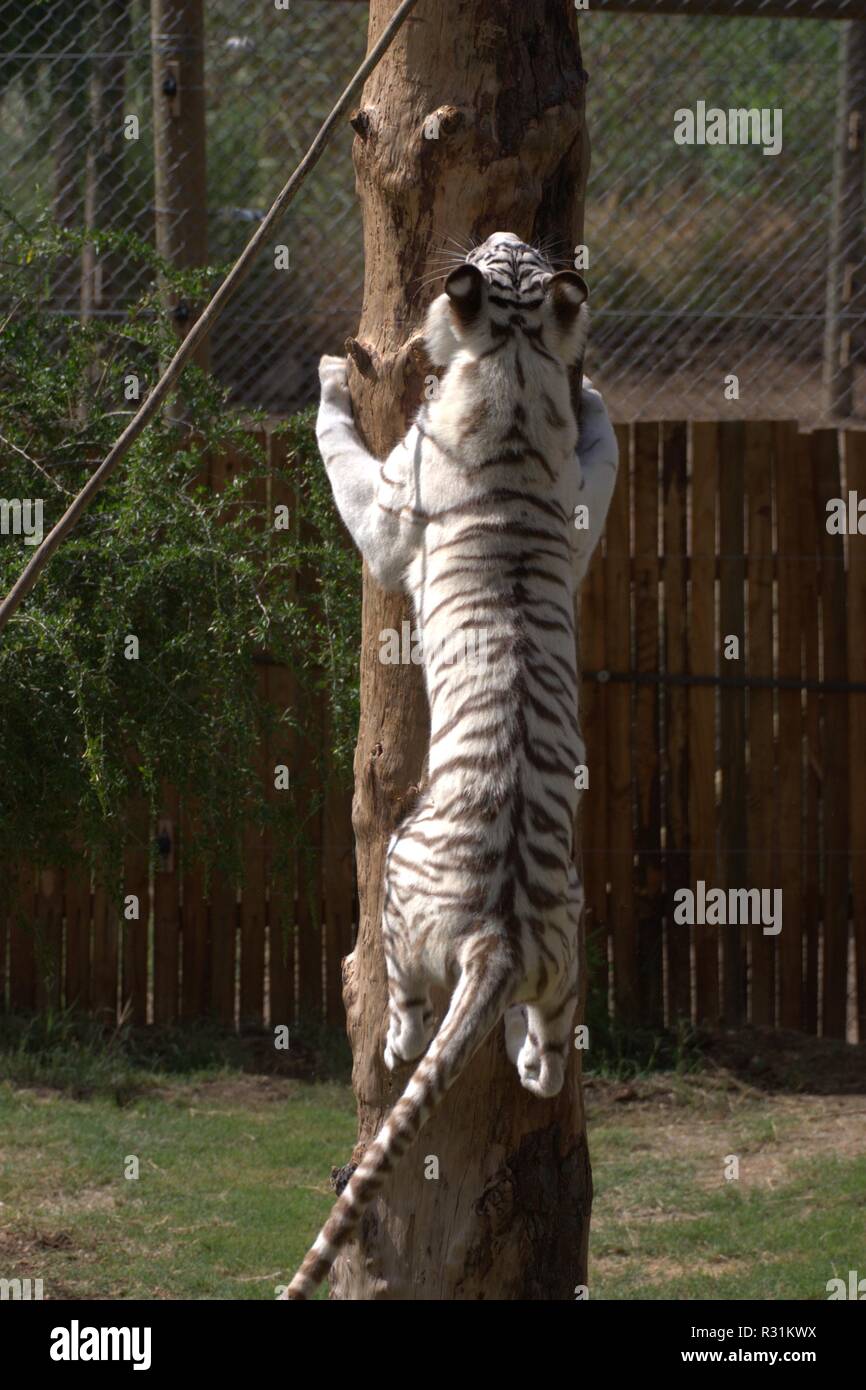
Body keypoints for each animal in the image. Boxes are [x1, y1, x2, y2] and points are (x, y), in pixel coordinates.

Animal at [283, 231, 618, 1300]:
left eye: (498, 252)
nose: (495, 238)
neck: (510, 358)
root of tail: (500, 939)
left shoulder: (391, 511)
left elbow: (343, 454)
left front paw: (329, 375)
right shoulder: (580, 511)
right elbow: (604, 453)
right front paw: (600, 397)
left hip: (395, 878)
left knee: (404, 1010)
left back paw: (397, 1032)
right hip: (566, 956)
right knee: (547, 1060)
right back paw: (517, 1045)